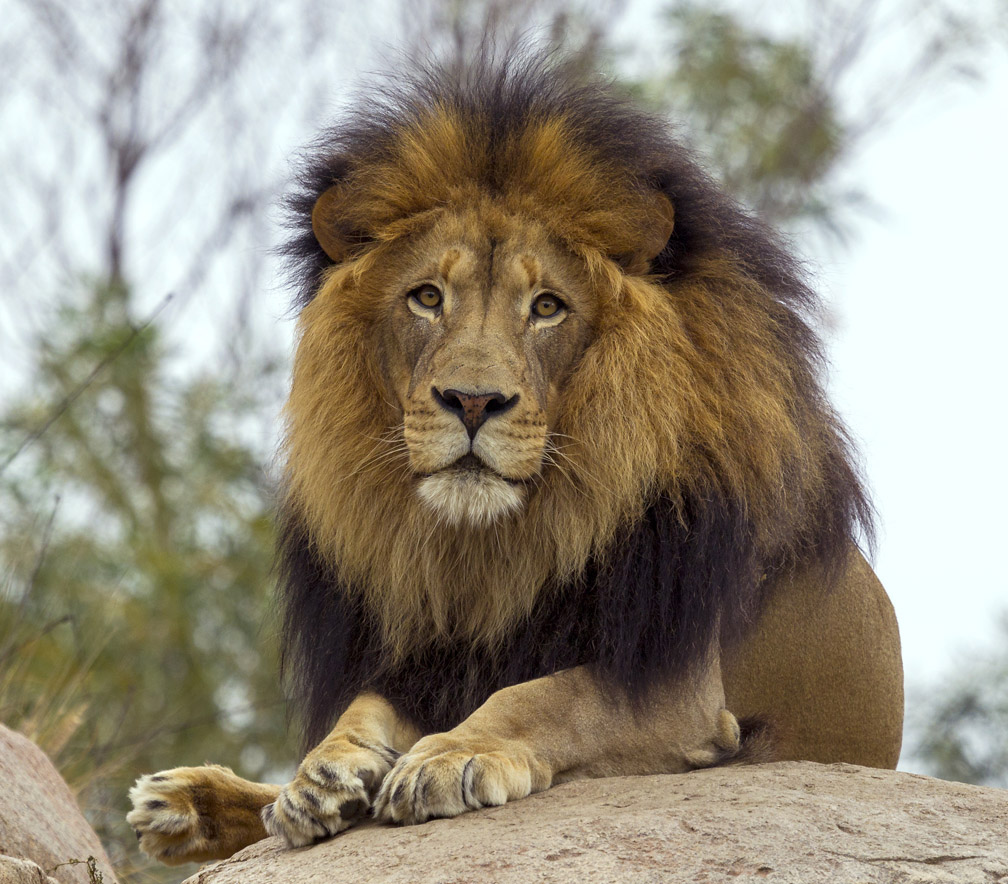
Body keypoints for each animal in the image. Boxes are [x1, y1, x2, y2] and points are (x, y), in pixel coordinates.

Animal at [127, 54, 903, 865]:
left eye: (547, 307)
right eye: (427, 297)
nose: (472, 402)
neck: (505, 548)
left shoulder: (683, 689)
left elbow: (549, 696)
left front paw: (449, 757)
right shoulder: (433, 659)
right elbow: (364, 705)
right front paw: (326, 772)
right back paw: (186, 803)